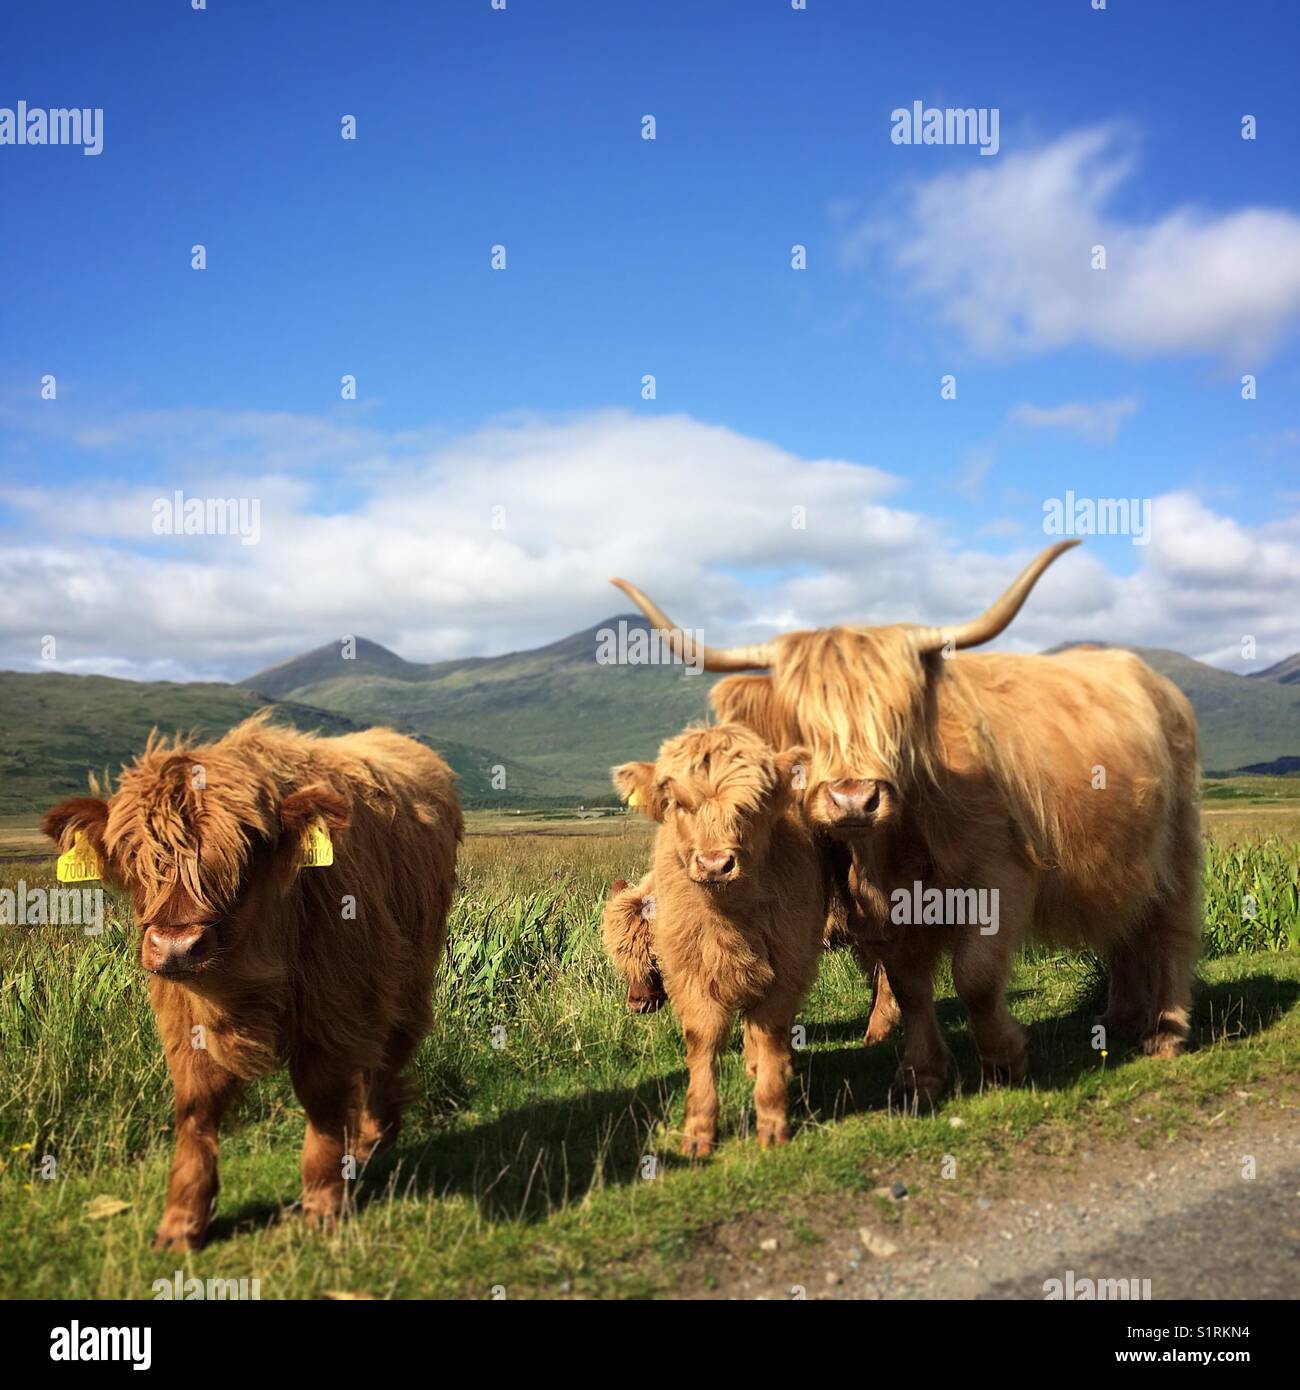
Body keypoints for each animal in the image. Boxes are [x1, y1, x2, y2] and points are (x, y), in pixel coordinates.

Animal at [42, 712, 463, 1248]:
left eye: (247, 851)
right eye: (132, 856)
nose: (177, 946)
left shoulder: (336, 1002)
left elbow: (324, 1099)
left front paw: (323, 1203)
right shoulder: (183, 1015)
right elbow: (196, 1107)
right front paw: (181, 1221)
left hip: (409, 966)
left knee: (393, 1045)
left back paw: (374, 1136)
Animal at [611, 541, 1202, 1103]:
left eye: (897, 717)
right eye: (805, 722)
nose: (853, 800)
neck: (895, 843)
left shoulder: (999, 874)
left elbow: (976, 976)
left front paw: (1004, 1060)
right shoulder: (879, 905)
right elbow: (908, 982)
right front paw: (920, 1075)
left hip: (1177, 838)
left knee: (1171, 927)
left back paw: (1165, 1032)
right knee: (1126, 923)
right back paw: (1119, 1019)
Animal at [611, 724, 823, 1155]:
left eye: (752, 804)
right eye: (678, 803)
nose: (714, 864)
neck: (729, 917)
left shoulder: (787, 966)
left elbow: (771, 1033)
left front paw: (772, 1122)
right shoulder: (689, 972)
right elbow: (704, 1039)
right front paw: (698, 1132)